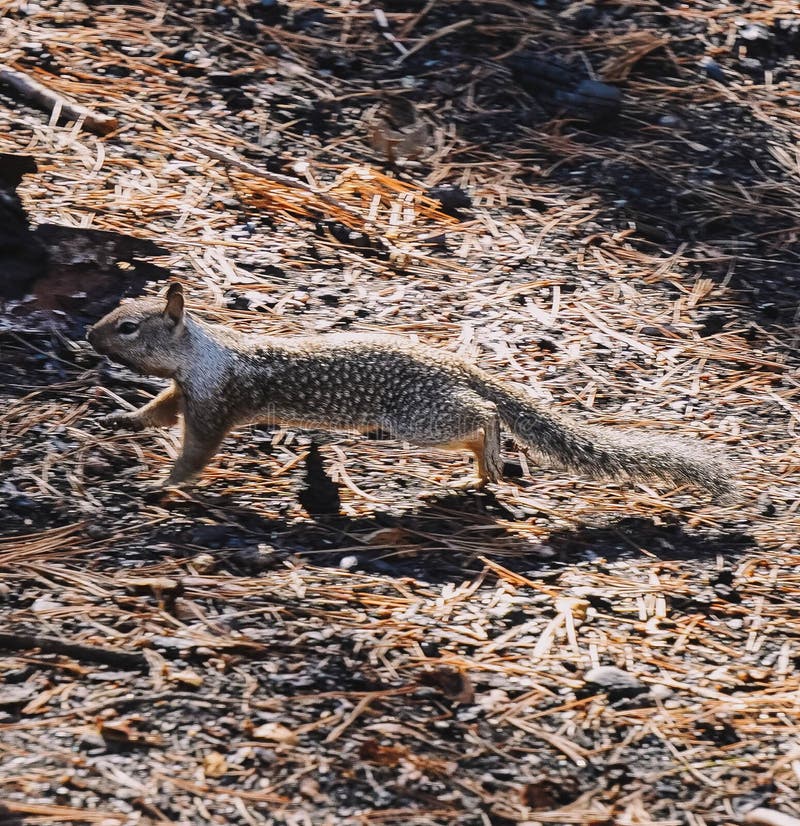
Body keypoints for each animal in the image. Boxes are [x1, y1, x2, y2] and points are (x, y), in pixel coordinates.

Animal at [86, 283, 735, 500]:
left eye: (128, 326)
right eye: (116, 312)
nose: (89, 335)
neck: (203, 355)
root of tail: (456, 361)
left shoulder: (216, 403)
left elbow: (196, 453)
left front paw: (161, 485)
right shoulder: (187, 392)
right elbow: (158, 412)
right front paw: (125, 422)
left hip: (418, 419)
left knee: (485, 414)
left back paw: (489, 461)